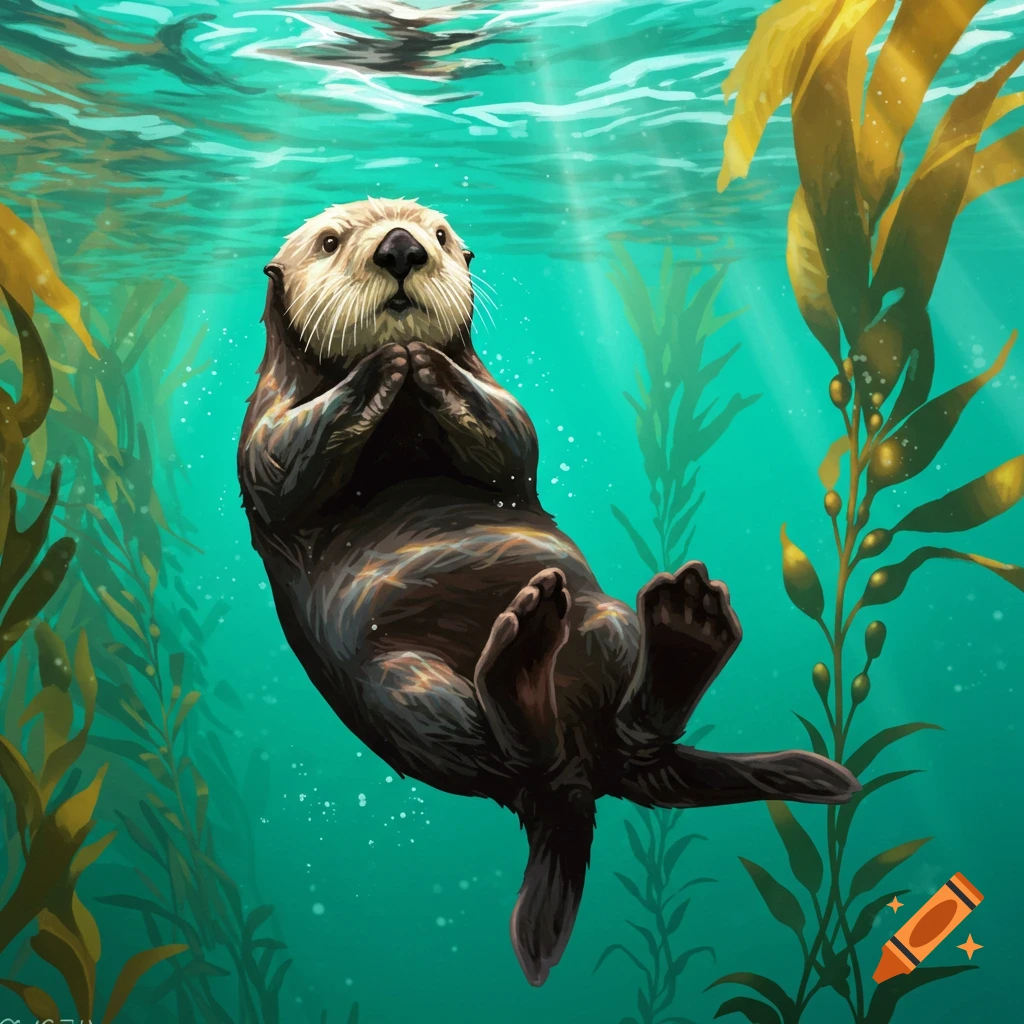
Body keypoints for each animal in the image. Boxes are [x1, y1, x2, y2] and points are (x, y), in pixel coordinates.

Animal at [238, 198, 858, 986]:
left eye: (440, 234)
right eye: (327, 241)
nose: (403, 248)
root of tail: (584, 773)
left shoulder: (505, 405)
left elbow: (511, 433)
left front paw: (427, 361)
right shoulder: (265, 419)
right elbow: (278, 461)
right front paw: (387, 362)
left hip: (606, 624)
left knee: (630, 719)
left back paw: (681, 625)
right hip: (399, 690)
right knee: (503, 746)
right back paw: (529, 648)